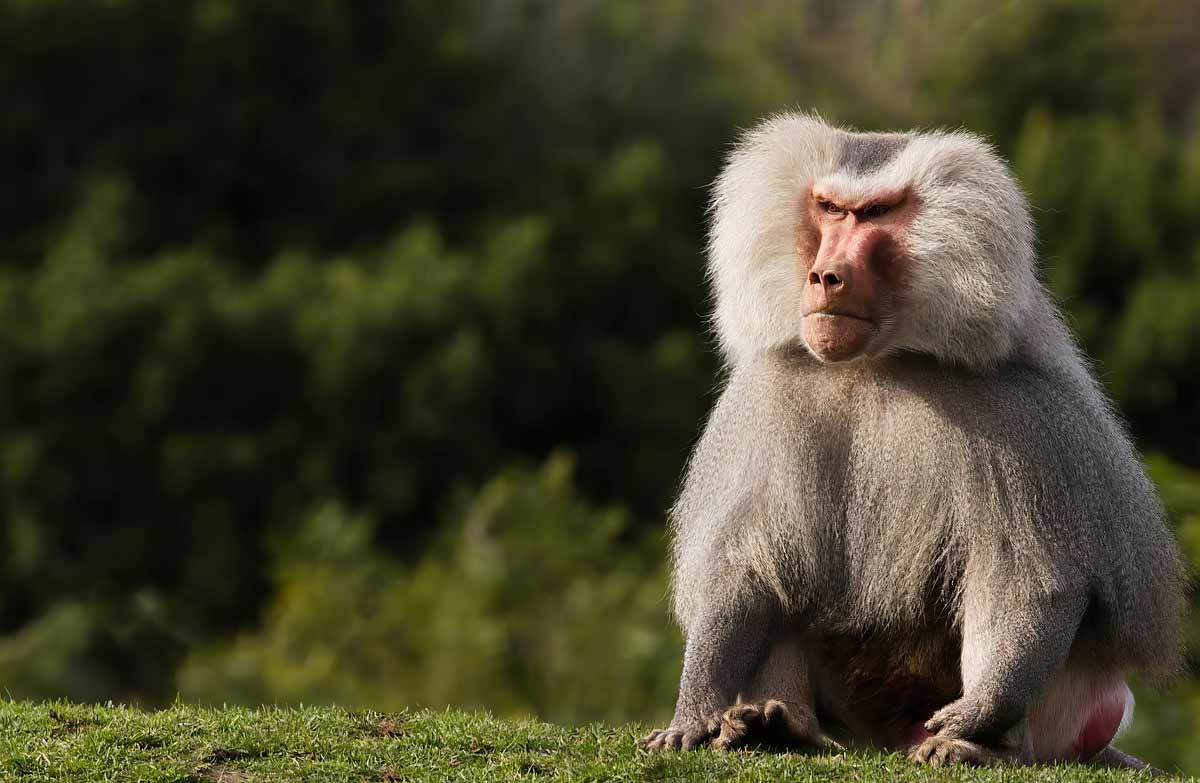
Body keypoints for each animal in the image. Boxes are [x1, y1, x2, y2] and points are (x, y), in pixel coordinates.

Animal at [639, 113, 1187, 769]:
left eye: (876, 213)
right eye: (829, 209)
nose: (825, 276)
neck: (878, 362)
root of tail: (894, 736)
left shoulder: (1024, 418)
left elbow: (1033, 577)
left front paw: (978, 714)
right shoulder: (770, 396)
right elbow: (745, 566)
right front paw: (694, 712)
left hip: (1068, 706)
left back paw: (980, 745)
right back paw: (779, 726)